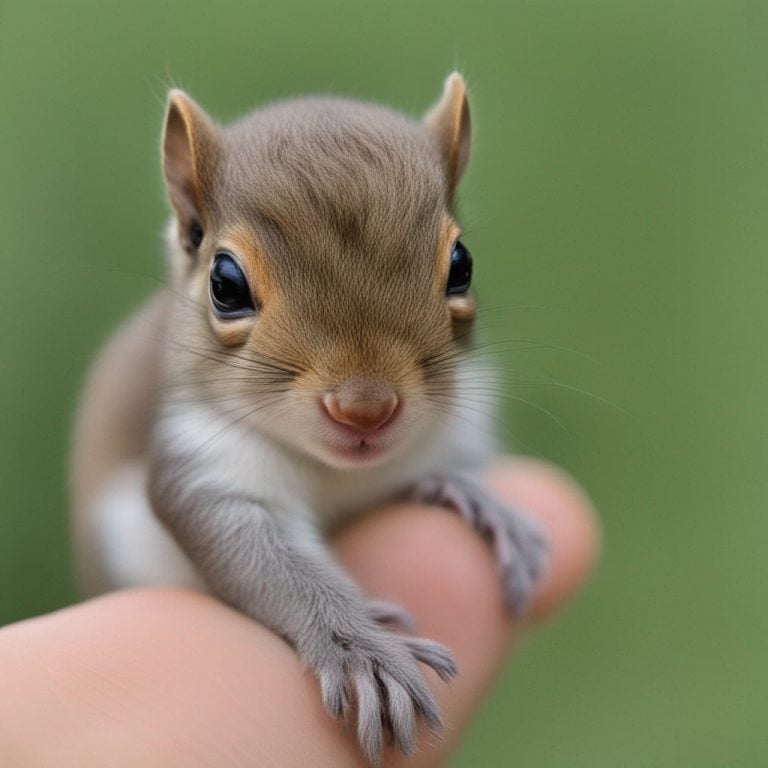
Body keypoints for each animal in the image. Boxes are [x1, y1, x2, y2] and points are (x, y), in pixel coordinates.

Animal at [70, 73, 548, 764]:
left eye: (462, 264)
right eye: (225, 283)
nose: (366, 407)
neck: (339, 473)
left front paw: (476, 498)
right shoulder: (204, 465)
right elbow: (269, 566)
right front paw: (364, 651)